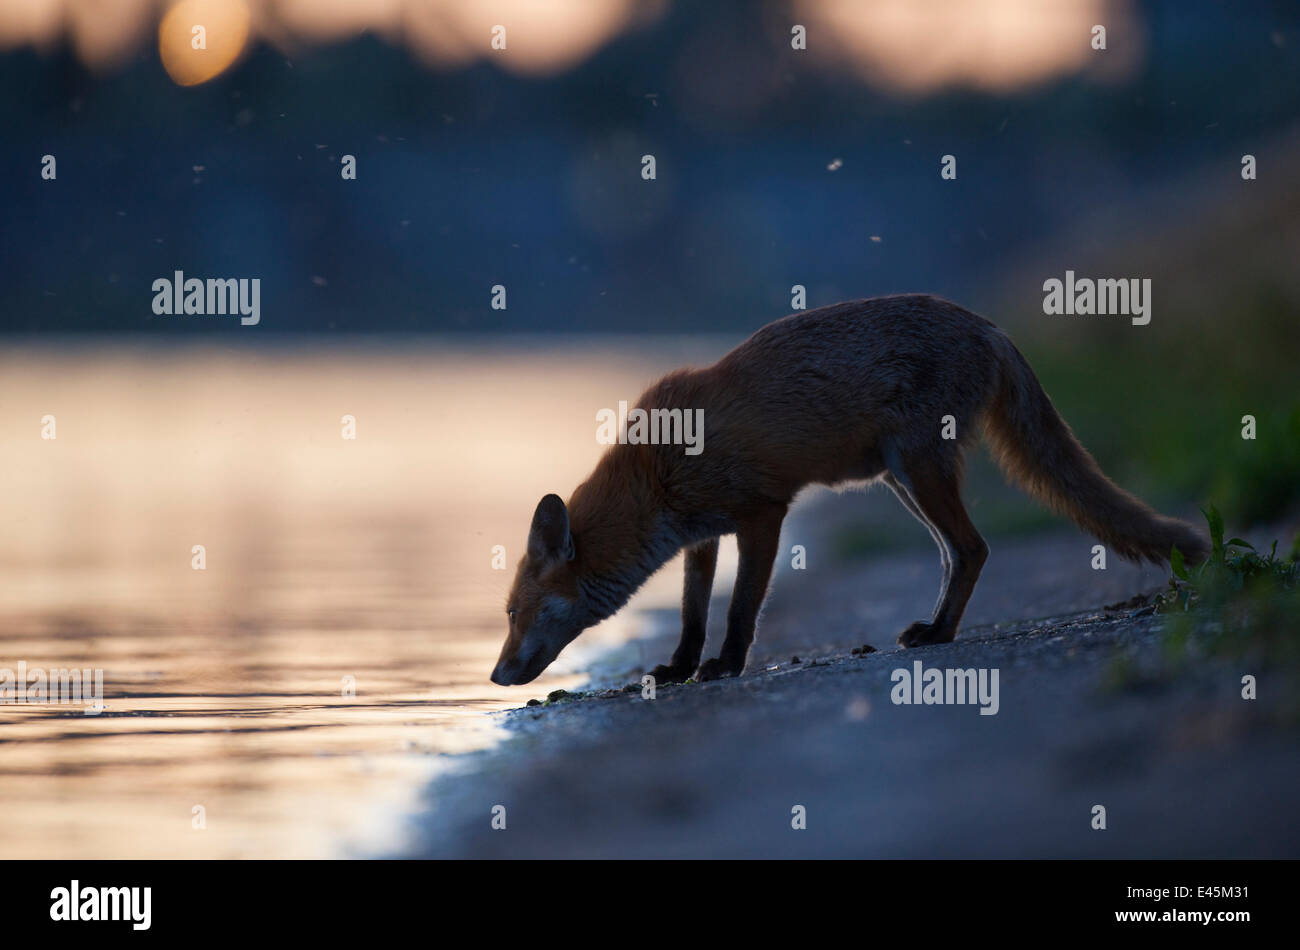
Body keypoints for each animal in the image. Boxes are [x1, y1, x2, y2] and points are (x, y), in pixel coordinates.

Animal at [490, 294, 1209, 687]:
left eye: (513, 613)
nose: (494, 675)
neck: (655, 470)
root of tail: (988, 325)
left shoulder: (762, 513)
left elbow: (739, 610)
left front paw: (725, 665)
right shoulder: (703, 535)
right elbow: (693, 614)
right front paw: (680, 668)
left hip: (916, 469)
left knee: (973, 549)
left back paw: (940, 633)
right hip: (902, 479)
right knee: (959, 553)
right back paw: (938, 627)